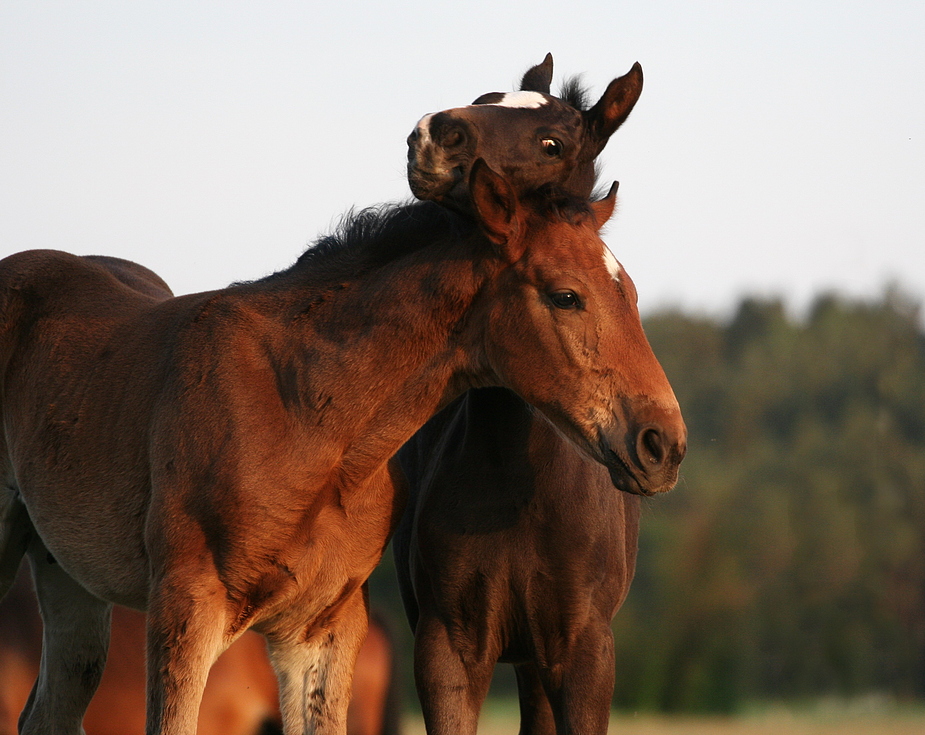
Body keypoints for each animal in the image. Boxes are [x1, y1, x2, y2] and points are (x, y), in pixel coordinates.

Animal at [393, 57, 672, 735]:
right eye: (482, 99)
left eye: (553, 143)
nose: (430, 135)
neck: (516, 483)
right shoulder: (447, 647)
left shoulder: (583, 650)